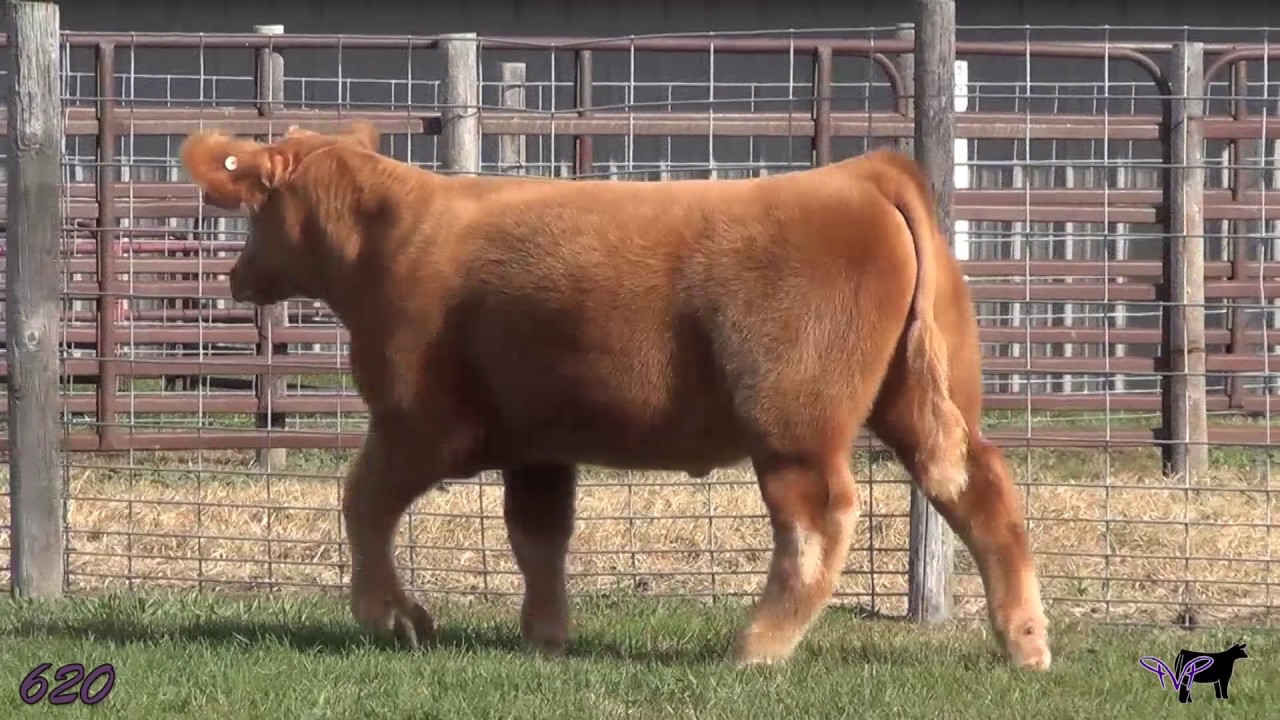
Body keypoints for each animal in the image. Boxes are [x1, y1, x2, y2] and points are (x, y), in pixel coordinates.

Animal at [179, 121, 1051, 671]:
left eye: (258, 210)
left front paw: (397, 617)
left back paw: (756, 649)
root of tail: (861, 174)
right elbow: (537, 536)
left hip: (794, 424)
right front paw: (544, 638)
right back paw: (1025, 644)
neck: (395, 238)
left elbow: (362, 502)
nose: (235, 275)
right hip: (922, 399)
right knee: (979, 489)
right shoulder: (536, 440)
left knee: (820, 519)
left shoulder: (418, 423)